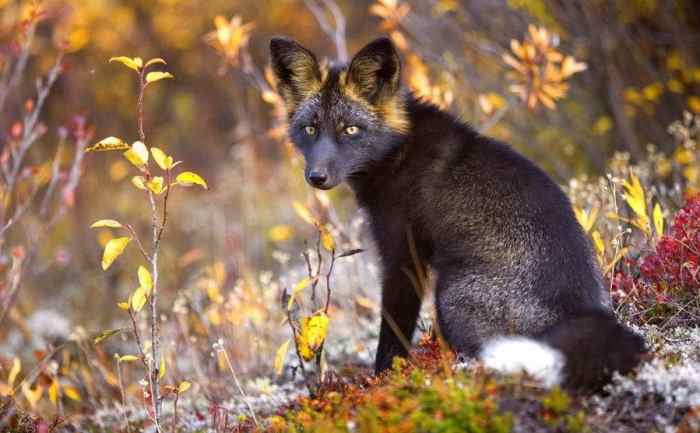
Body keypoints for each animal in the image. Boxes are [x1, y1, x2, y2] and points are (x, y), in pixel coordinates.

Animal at [269, 36, 647, 389]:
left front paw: (382, 381)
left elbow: (392, 336)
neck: (399, 151)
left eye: (350, 129)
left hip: (448, 296)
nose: (317, 176)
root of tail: (580, 312)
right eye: (310, 128)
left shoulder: (403, 258)